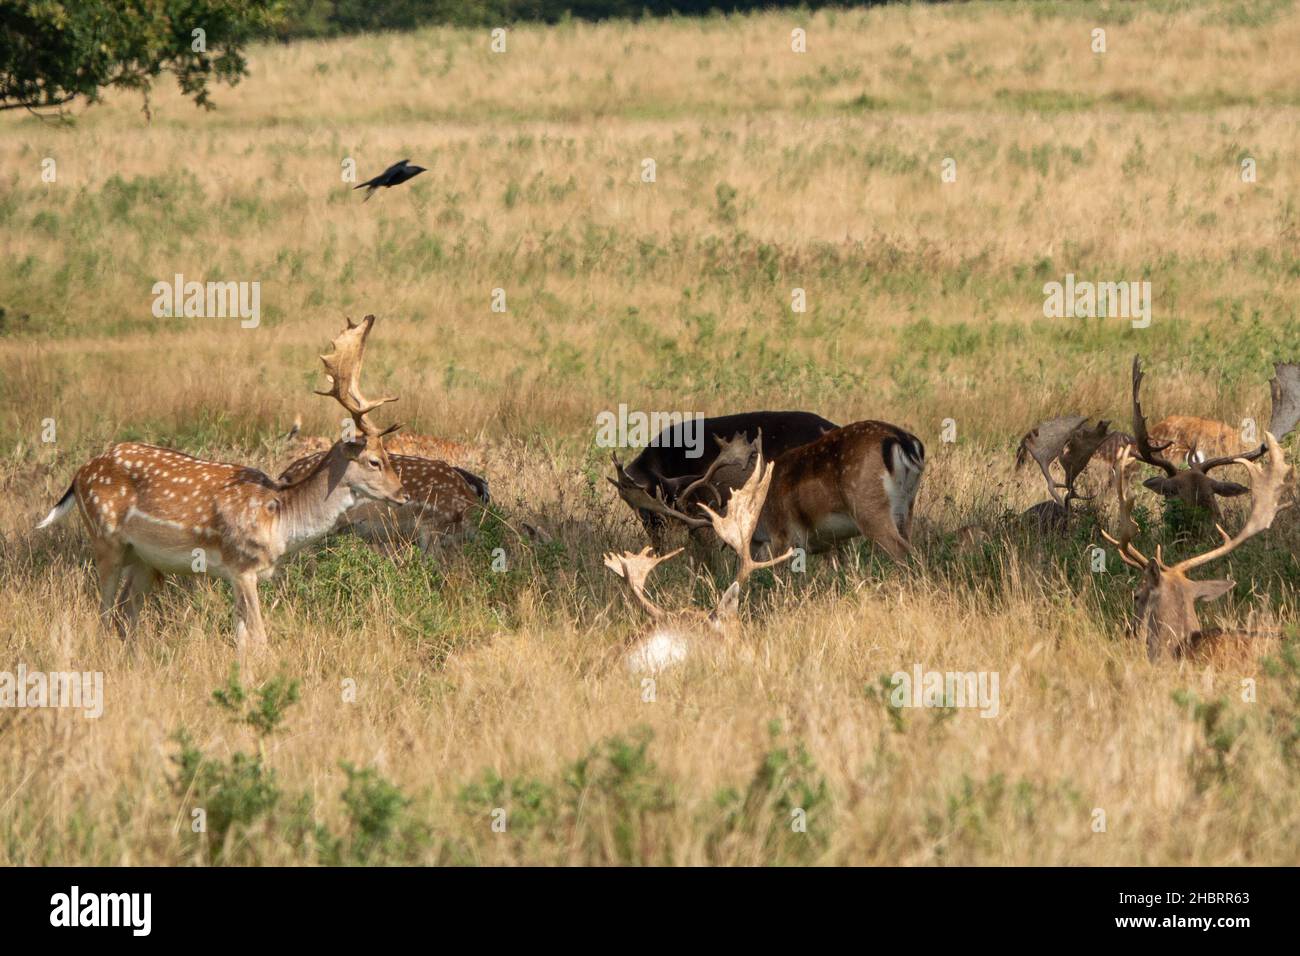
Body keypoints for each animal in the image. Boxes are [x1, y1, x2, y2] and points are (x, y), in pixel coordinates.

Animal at [36, 314, 408, 651]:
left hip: (143, 558)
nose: (403, 495)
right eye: (374, 461)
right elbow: (259, 638)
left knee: (125, 614)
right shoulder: (241, 565)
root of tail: (79, 474)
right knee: (103, 613)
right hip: (104, 539)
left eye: (389, 456)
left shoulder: (238, 575)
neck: (280, 521)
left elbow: (241, 638)